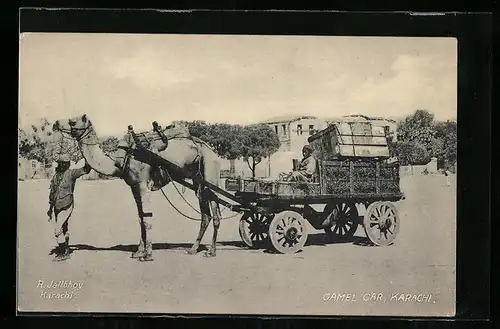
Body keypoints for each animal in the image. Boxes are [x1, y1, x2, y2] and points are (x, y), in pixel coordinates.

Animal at [52, 114, 223, 260]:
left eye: (73, 121)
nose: (55, 123)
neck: (122, 158)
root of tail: (212, 150)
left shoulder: (143, 185)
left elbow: (147, 218)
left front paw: (147, 254)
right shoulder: (133, 186)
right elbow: (141, 217)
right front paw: (138, 251)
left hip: (211, 171)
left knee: (215, 211)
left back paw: (211, 251)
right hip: (198, 181)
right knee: (205, 214)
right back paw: (193, 249)